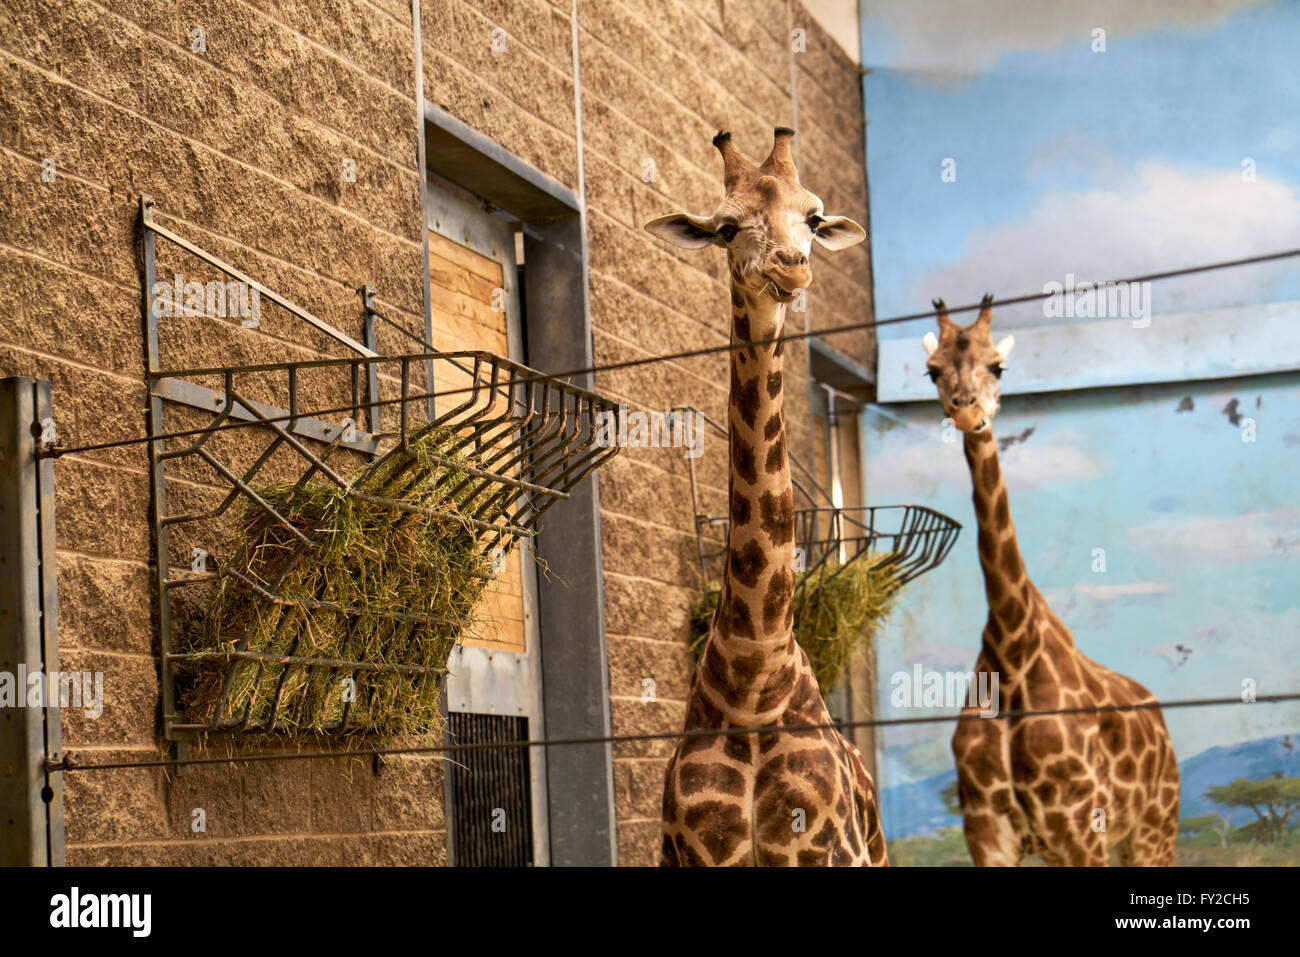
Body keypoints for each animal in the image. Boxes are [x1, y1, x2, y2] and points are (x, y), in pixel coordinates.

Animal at [644, 128, 887, 866]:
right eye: (725, 228)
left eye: (814, 216)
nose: (792, 267)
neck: (753, 679)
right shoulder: (698, 851)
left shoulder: (819, 848)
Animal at [922, 294, 1180, 866]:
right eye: (932, 371)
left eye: (999, 366)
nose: (966, 409)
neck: (1014, 651)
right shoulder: (988, 830)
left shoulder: (1080, 827)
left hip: (1154, 828)